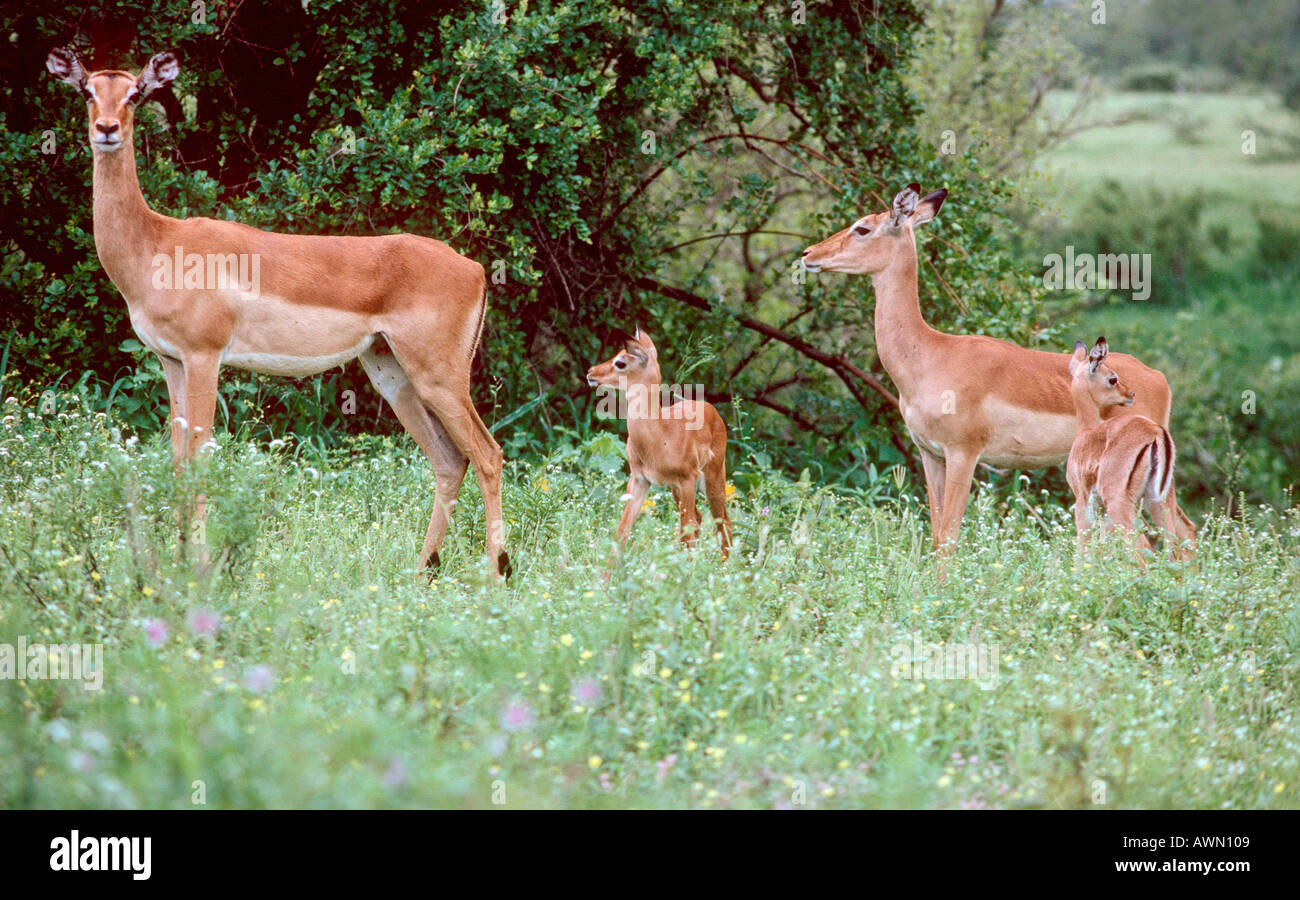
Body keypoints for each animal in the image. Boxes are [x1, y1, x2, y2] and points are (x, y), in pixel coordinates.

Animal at [46, 48, 509, 577]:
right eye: (87, 90)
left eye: (135, 93)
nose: (106, 129)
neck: (157, 244)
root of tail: (475, 269)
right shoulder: (171, 361)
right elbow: (179, 461)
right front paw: (180, 559)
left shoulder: (204, 356)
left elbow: (201, 457)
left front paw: (199, 565)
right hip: (393, 375)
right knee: (451, 461)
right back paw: (422, 571)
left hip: (440, 376)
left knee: (489, 455)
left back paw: (498, 572)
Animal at [585, 328, 732, 559]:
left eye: (621, 362)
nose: (591, 372)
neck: (659, 438)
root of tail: (713, 411)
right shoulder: (640, 479)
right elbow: (622, 530)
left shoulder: (688, 479)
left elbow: (686, 530)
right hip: (676, 489)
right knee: (700, 518)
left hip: (713, 477)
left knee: (722, 521)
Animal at [1066, 337, 1189, 564]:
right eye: (1112, 379)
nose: (1130, 394)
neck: (1086, 432)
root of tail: (1155, 432)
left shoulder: (1083, 502)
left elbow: (1084, 550)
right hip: (1157, 500)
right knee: (1175, 546)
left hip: (1120, 504)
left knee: (1142, 547)